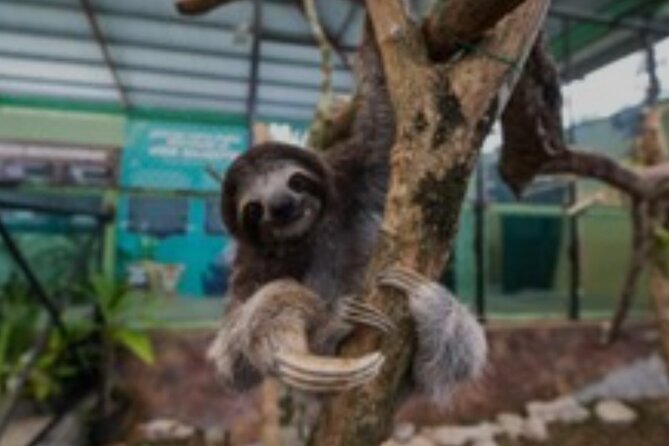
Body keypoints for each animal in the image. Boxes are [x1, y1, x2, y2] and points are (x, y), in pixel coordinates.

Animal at [207, 25, 487, 404]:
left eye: (295, 180)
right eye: (253, 208)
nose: (282, 205)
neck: (310, 233)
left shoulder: (351, 173)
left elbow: (383, 121)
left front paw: (374, 35)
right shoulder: (251, 265)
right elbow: (232, 360)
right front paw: (302, 314)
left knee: (462, 347)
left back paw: (433, 311)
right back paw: (330, 334)